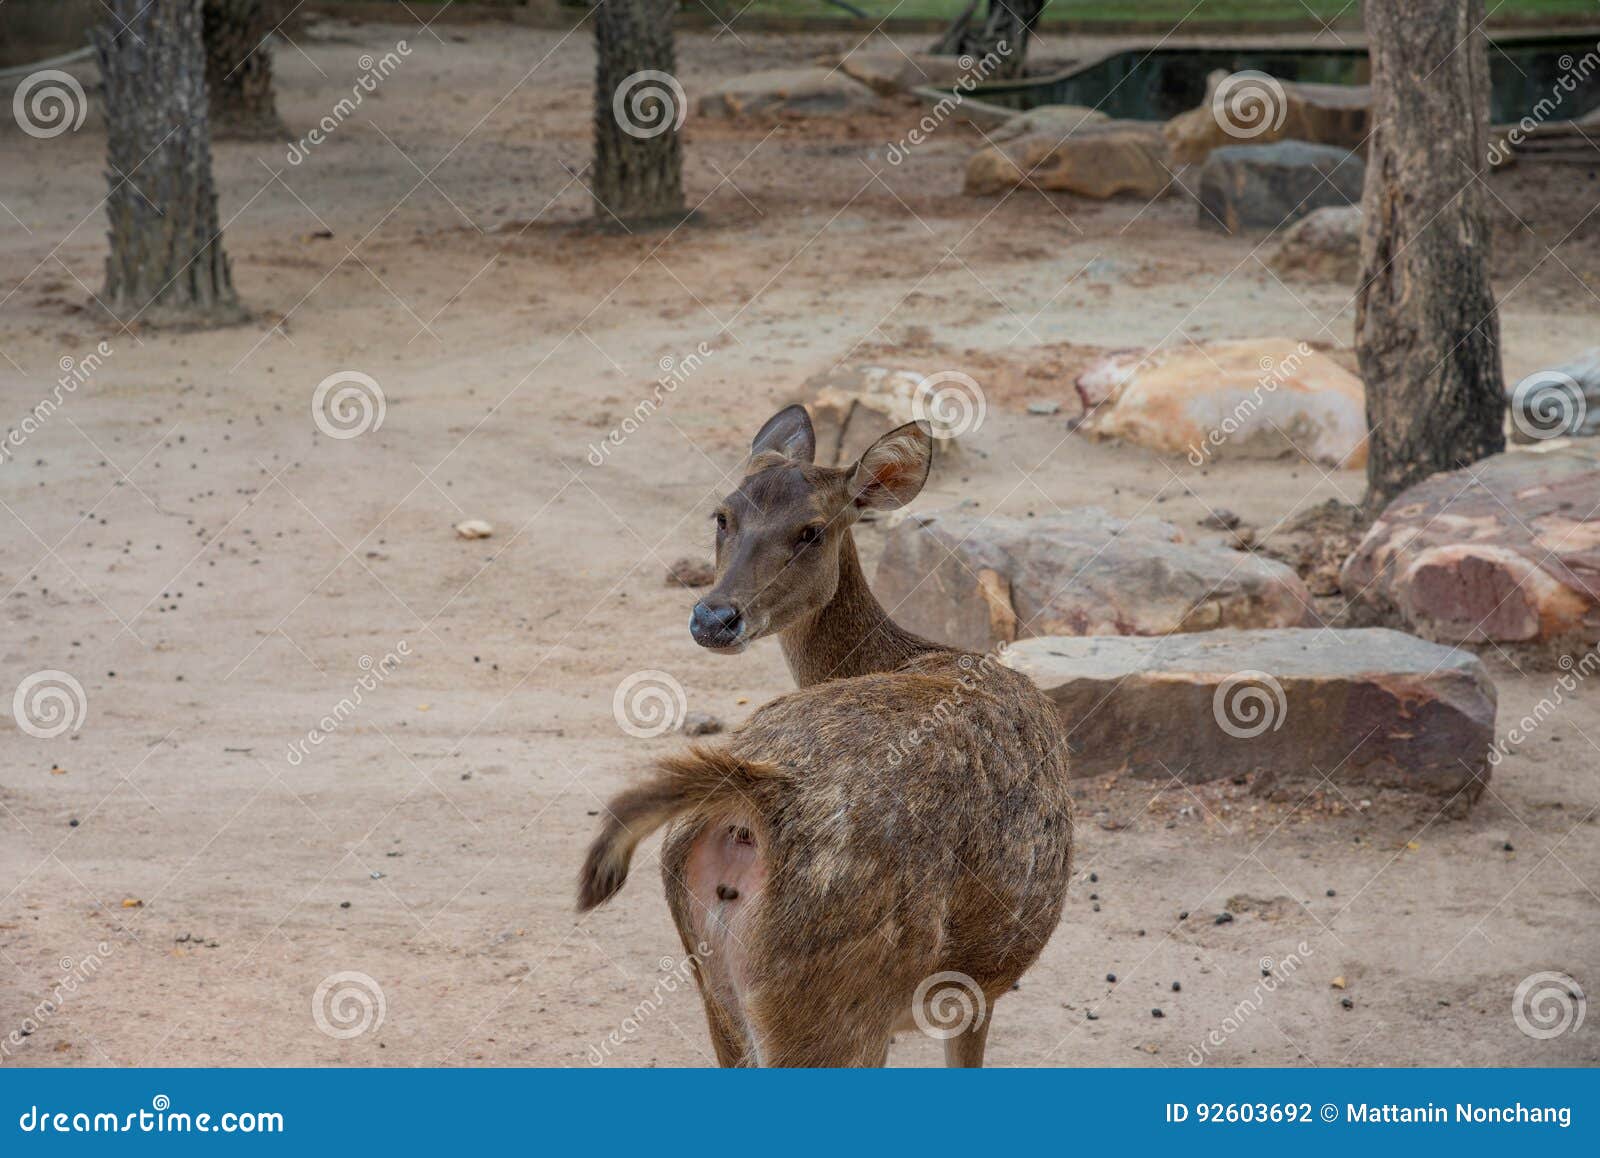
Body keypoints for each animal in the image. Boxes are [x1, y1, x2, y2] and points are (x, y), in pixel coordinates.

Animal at [577, 404, 1074, 1067]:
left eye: (811, 531)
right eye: (723, 515)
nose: (713, 618)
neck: (907, 651)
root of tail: (754, 802)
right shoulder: (978, 984)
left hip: (717, 992)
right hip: (838, 1002)